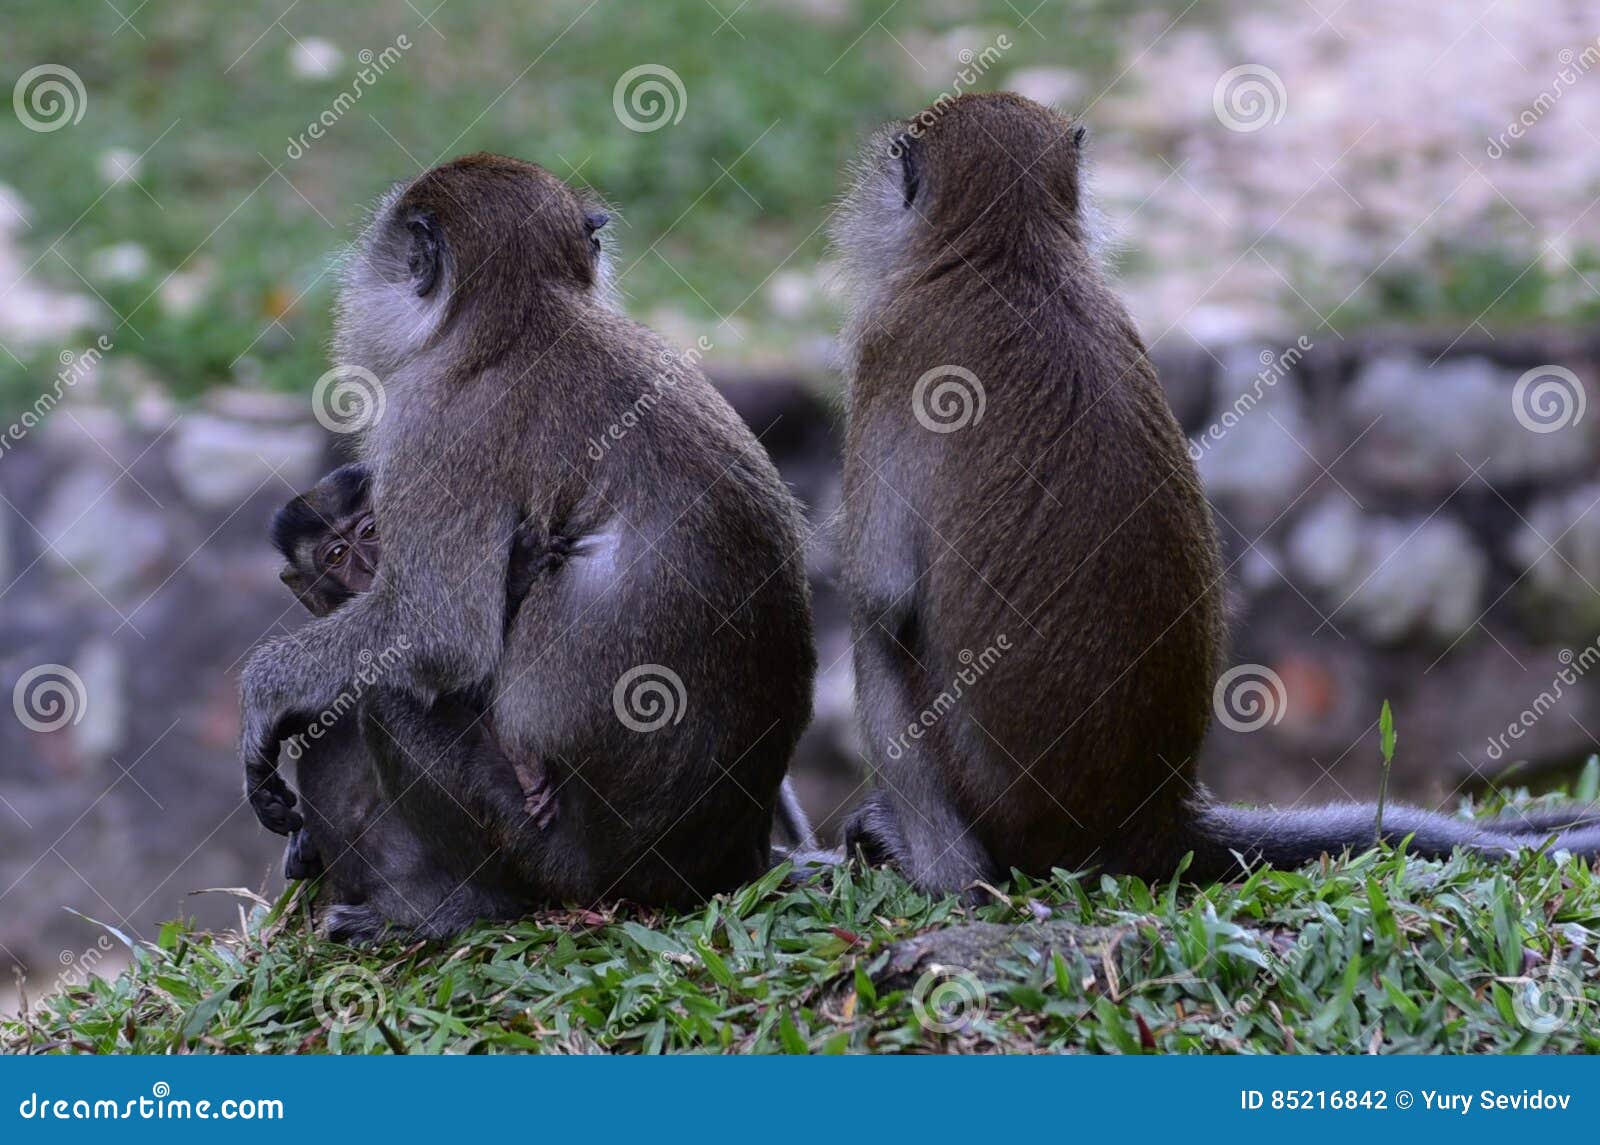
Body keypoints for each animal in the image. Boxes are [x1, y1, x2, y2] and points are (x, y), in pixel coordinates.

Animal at [239, 153, 815, 921]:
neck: (524, 316)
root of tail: (716, 864)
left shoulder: (433, 421)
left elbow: (436, 634)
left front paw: (265, 692)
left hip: (552, 859)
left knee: (390, 697)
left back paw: (468, 907)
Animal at [829, 92, 1600, 896]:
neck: (1011, 250)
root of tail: (1156, 819)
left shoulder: (885, 347)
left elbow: (880, 596)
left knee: (878, 640)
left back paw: (936, 869)